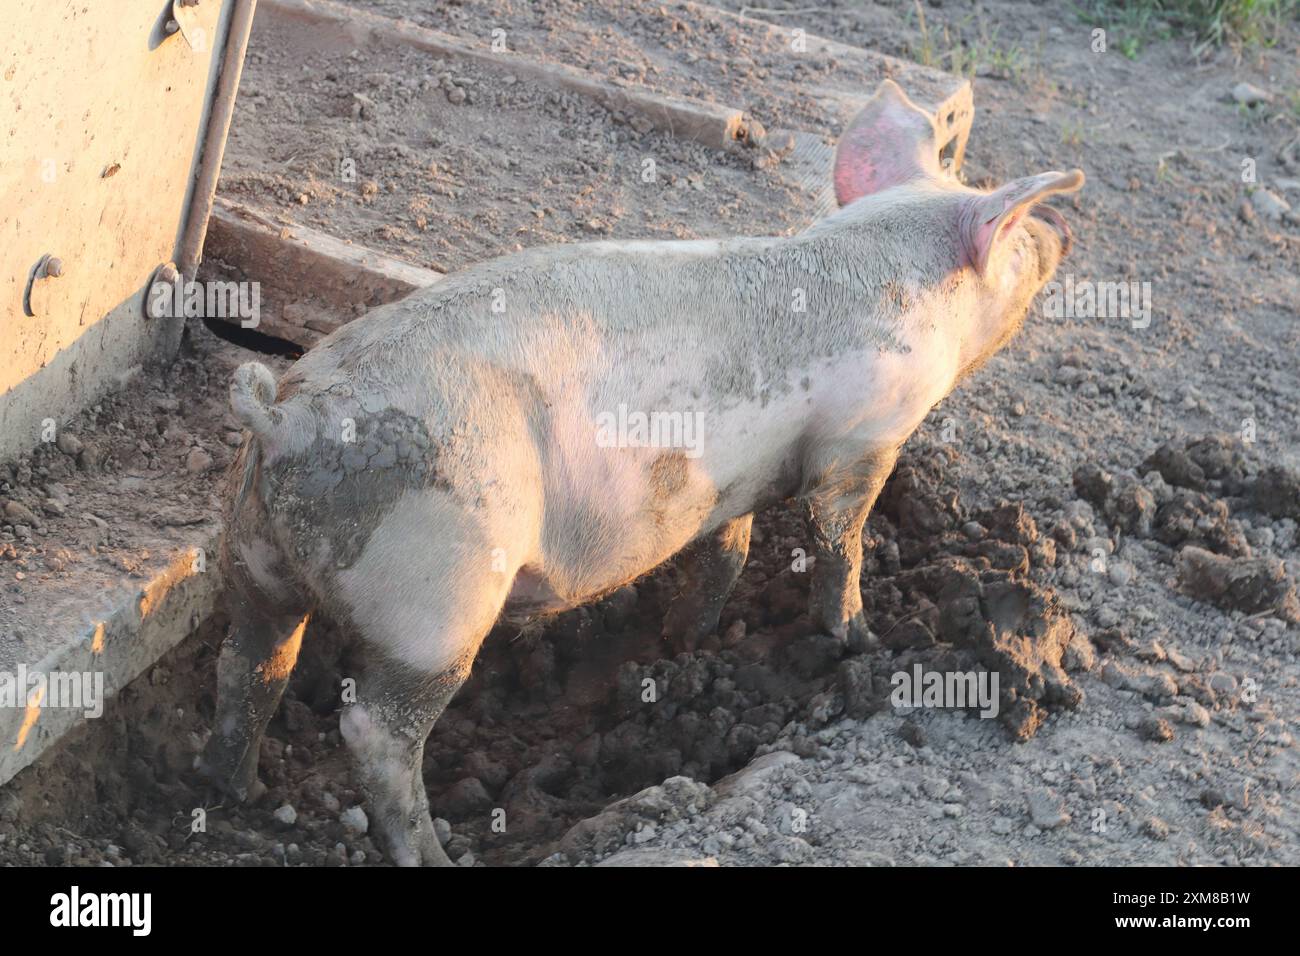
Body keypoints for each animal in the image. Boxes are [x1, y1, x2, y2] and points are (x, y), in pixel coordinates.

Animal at [200, 79, 1083, 865]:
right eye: (1018, 238)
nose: (1064, 230)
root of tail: (289, 418)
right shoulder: (864, 438)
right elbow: (841, 538)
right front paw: (861, 639)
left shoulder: (731, 476)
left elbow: (728, 548)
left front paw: (687, 641)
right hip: (436, 586)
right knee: (374, 729)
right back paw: (432, 855)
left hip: (253, 549)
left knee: (250, 661)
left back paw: (238, 794)